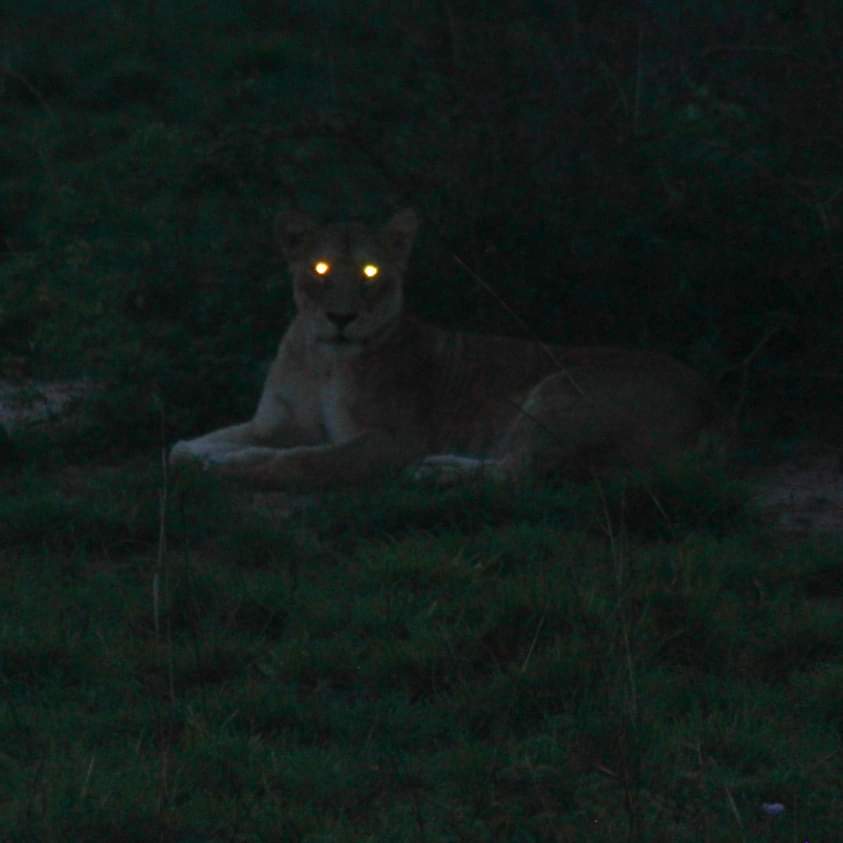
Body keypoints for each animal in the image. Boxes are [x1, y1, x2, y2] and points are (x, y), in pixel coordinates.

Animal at [169, 209, 723, 490]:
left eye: (371, 271)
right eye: (320, 269)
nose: (341, 318)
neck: (322, 359)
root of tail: (713, 405)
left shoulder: (390, 441)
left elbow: (302, 460)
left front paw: (232, 466)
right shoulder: (275, 423)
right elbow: (215, 437)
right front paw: (191, 453)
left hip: (559, 390)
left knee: (516, 472)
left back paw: (434, 470)